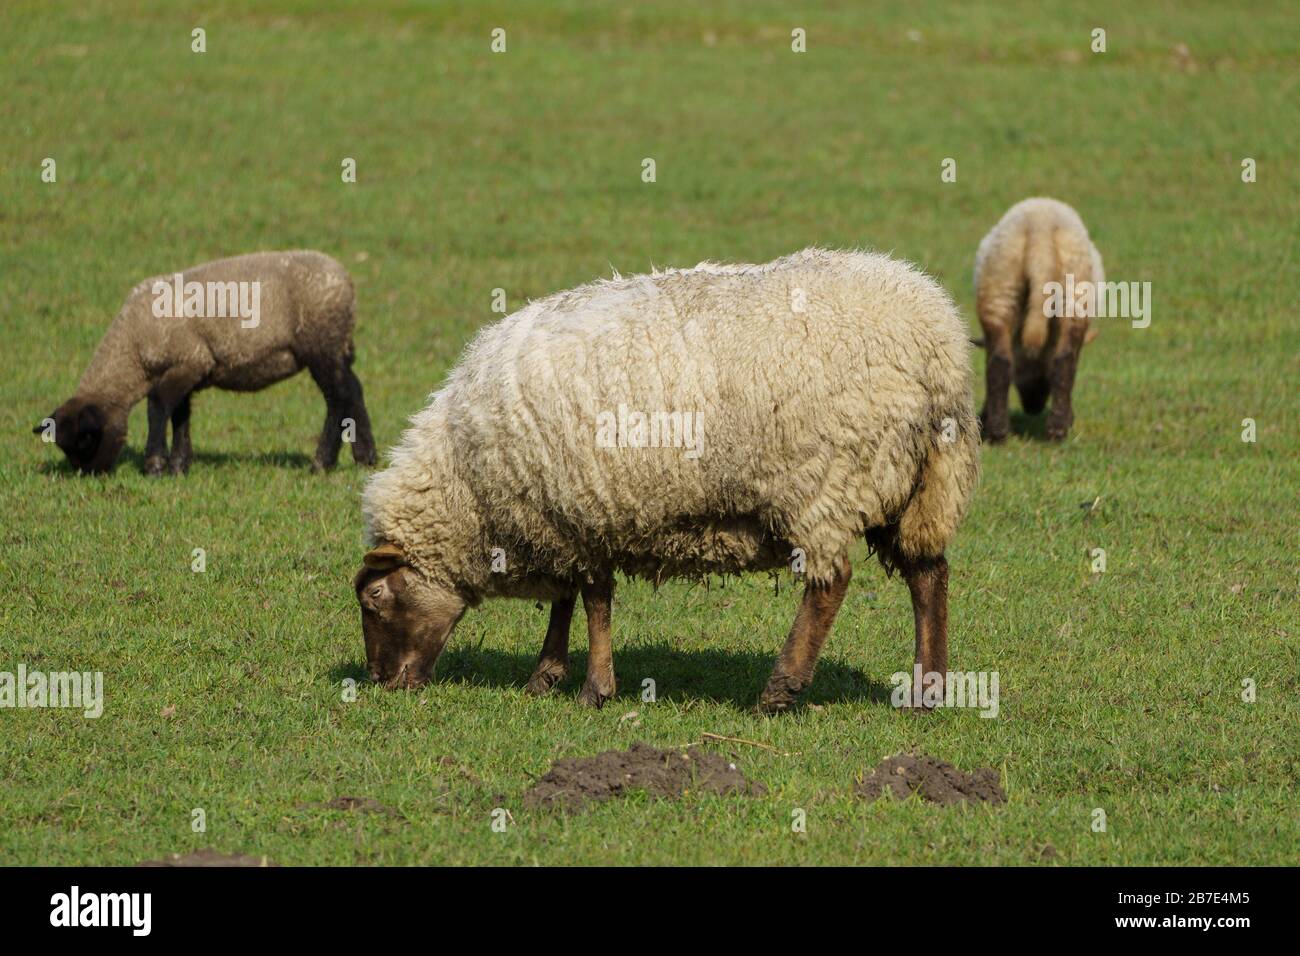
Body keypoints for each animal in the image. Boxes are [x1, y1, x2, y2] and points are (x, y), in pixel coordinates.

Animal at [34, 250, 377, 475]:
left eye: (85, 440)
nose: (90, 475)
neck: (132, 348)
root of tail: (346, 282)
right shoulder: (188, 367)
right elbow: (180, 415)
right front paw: (179, 465)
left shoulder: (189, 360)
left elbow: (158, 406)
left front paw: (155, 465)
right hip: (336, 348)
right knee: (353, 391)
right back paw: (365, 457)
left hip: (321, 345)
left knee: (338, 397)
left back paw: (322, 463)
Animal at [354, 248, 980, 713]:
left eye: (375, 599)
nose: (385, 683)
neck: (468, 482)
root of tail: (939, 345)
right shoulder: (563, 516)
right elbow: (568, 600)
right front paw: (546, 677)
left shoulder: (579, 511)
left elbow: (592, 600)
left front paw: (592, 689)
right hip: (911, 483)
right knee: (928, 574)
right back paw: (927, 691)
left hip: (827, 480)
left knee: (832, 582)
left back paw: (781, 689)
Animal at [974, 197, 1103, 442]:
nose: (1033, 407)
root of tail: (1039, 228)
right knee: (1064, 361)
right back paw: (1057, 428)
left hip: (1002, 287)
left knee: (1001, 362)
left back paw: (998, 431)